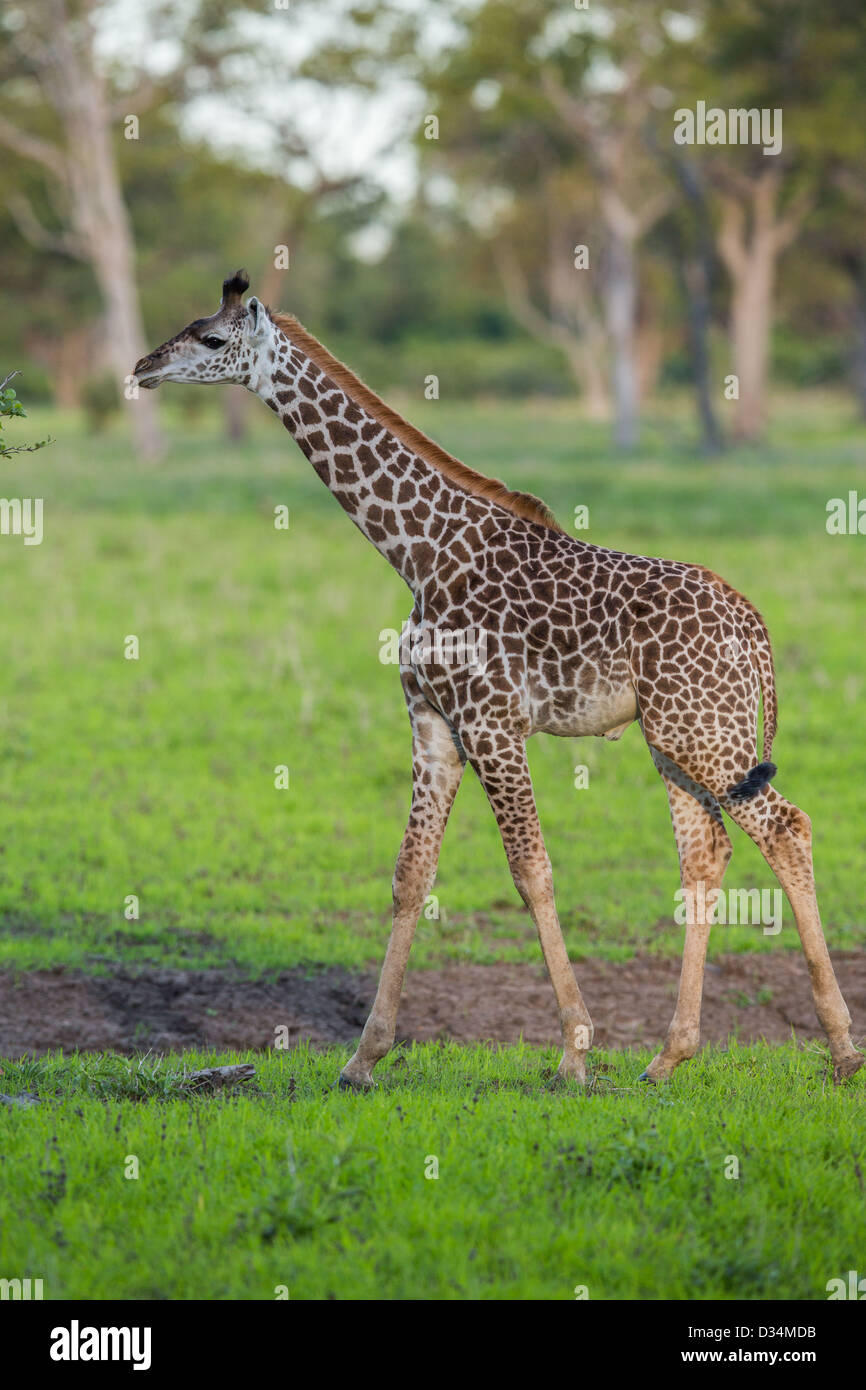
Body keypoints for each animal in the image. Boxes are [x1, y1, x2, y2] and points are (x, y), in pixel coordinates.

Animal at [133, 271, 863, 1089]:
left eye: (211, 339)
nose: (142, 368)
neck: (419, 552)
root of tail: (753, 626)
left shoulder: (492, 721)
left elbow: (531, 870)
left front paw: (575, 1054)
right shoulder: (432, 721)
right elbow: (412, 873)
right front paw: (363, 1057)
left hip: (705, 733)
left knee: (786, 828)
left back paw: (841, 1049)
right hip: (677, 738)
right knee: (707, 854)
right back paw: (668, 1057)